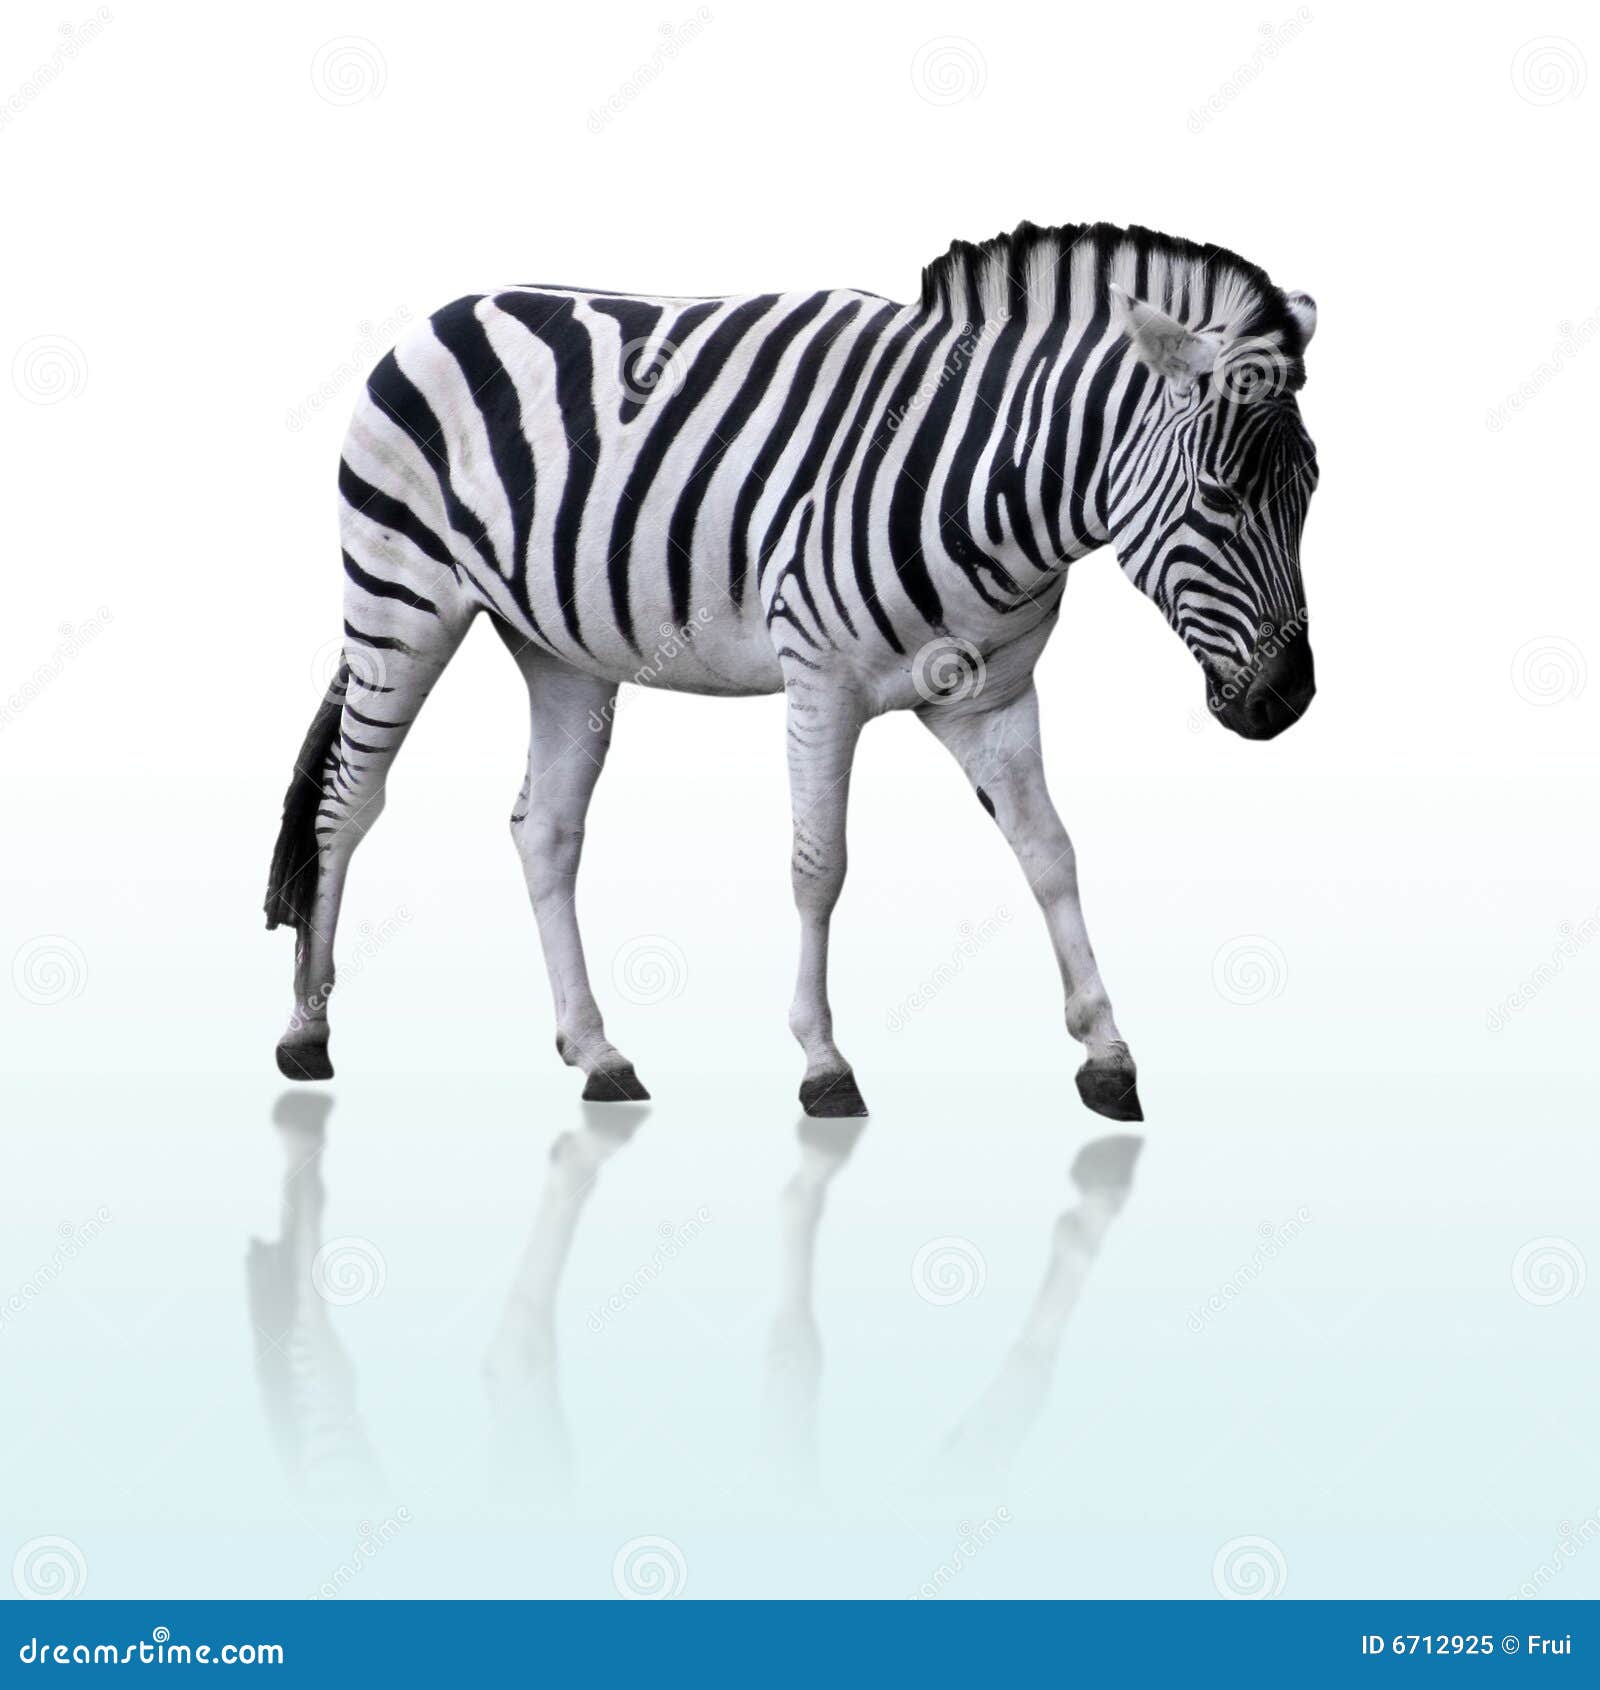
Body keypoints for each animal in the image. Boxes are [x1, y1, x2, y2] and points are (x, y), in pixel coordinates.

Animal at [265, 219, 1319, 1122]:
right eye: (1221, 495)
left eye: (1310, 490)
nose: (1287, 702)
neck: (983, 483)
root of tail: (447, 309)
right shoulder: (821, 679)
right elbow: (821, 868)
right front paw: (823, 1065)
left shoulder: (991, 694)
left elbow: (1051, 854)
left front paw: (1107, 1054)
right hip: (400, 600)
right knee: (346, 803)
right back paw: (307, 1033)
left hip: (560, 648)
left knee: (546, 832)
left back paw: (597, 1053)